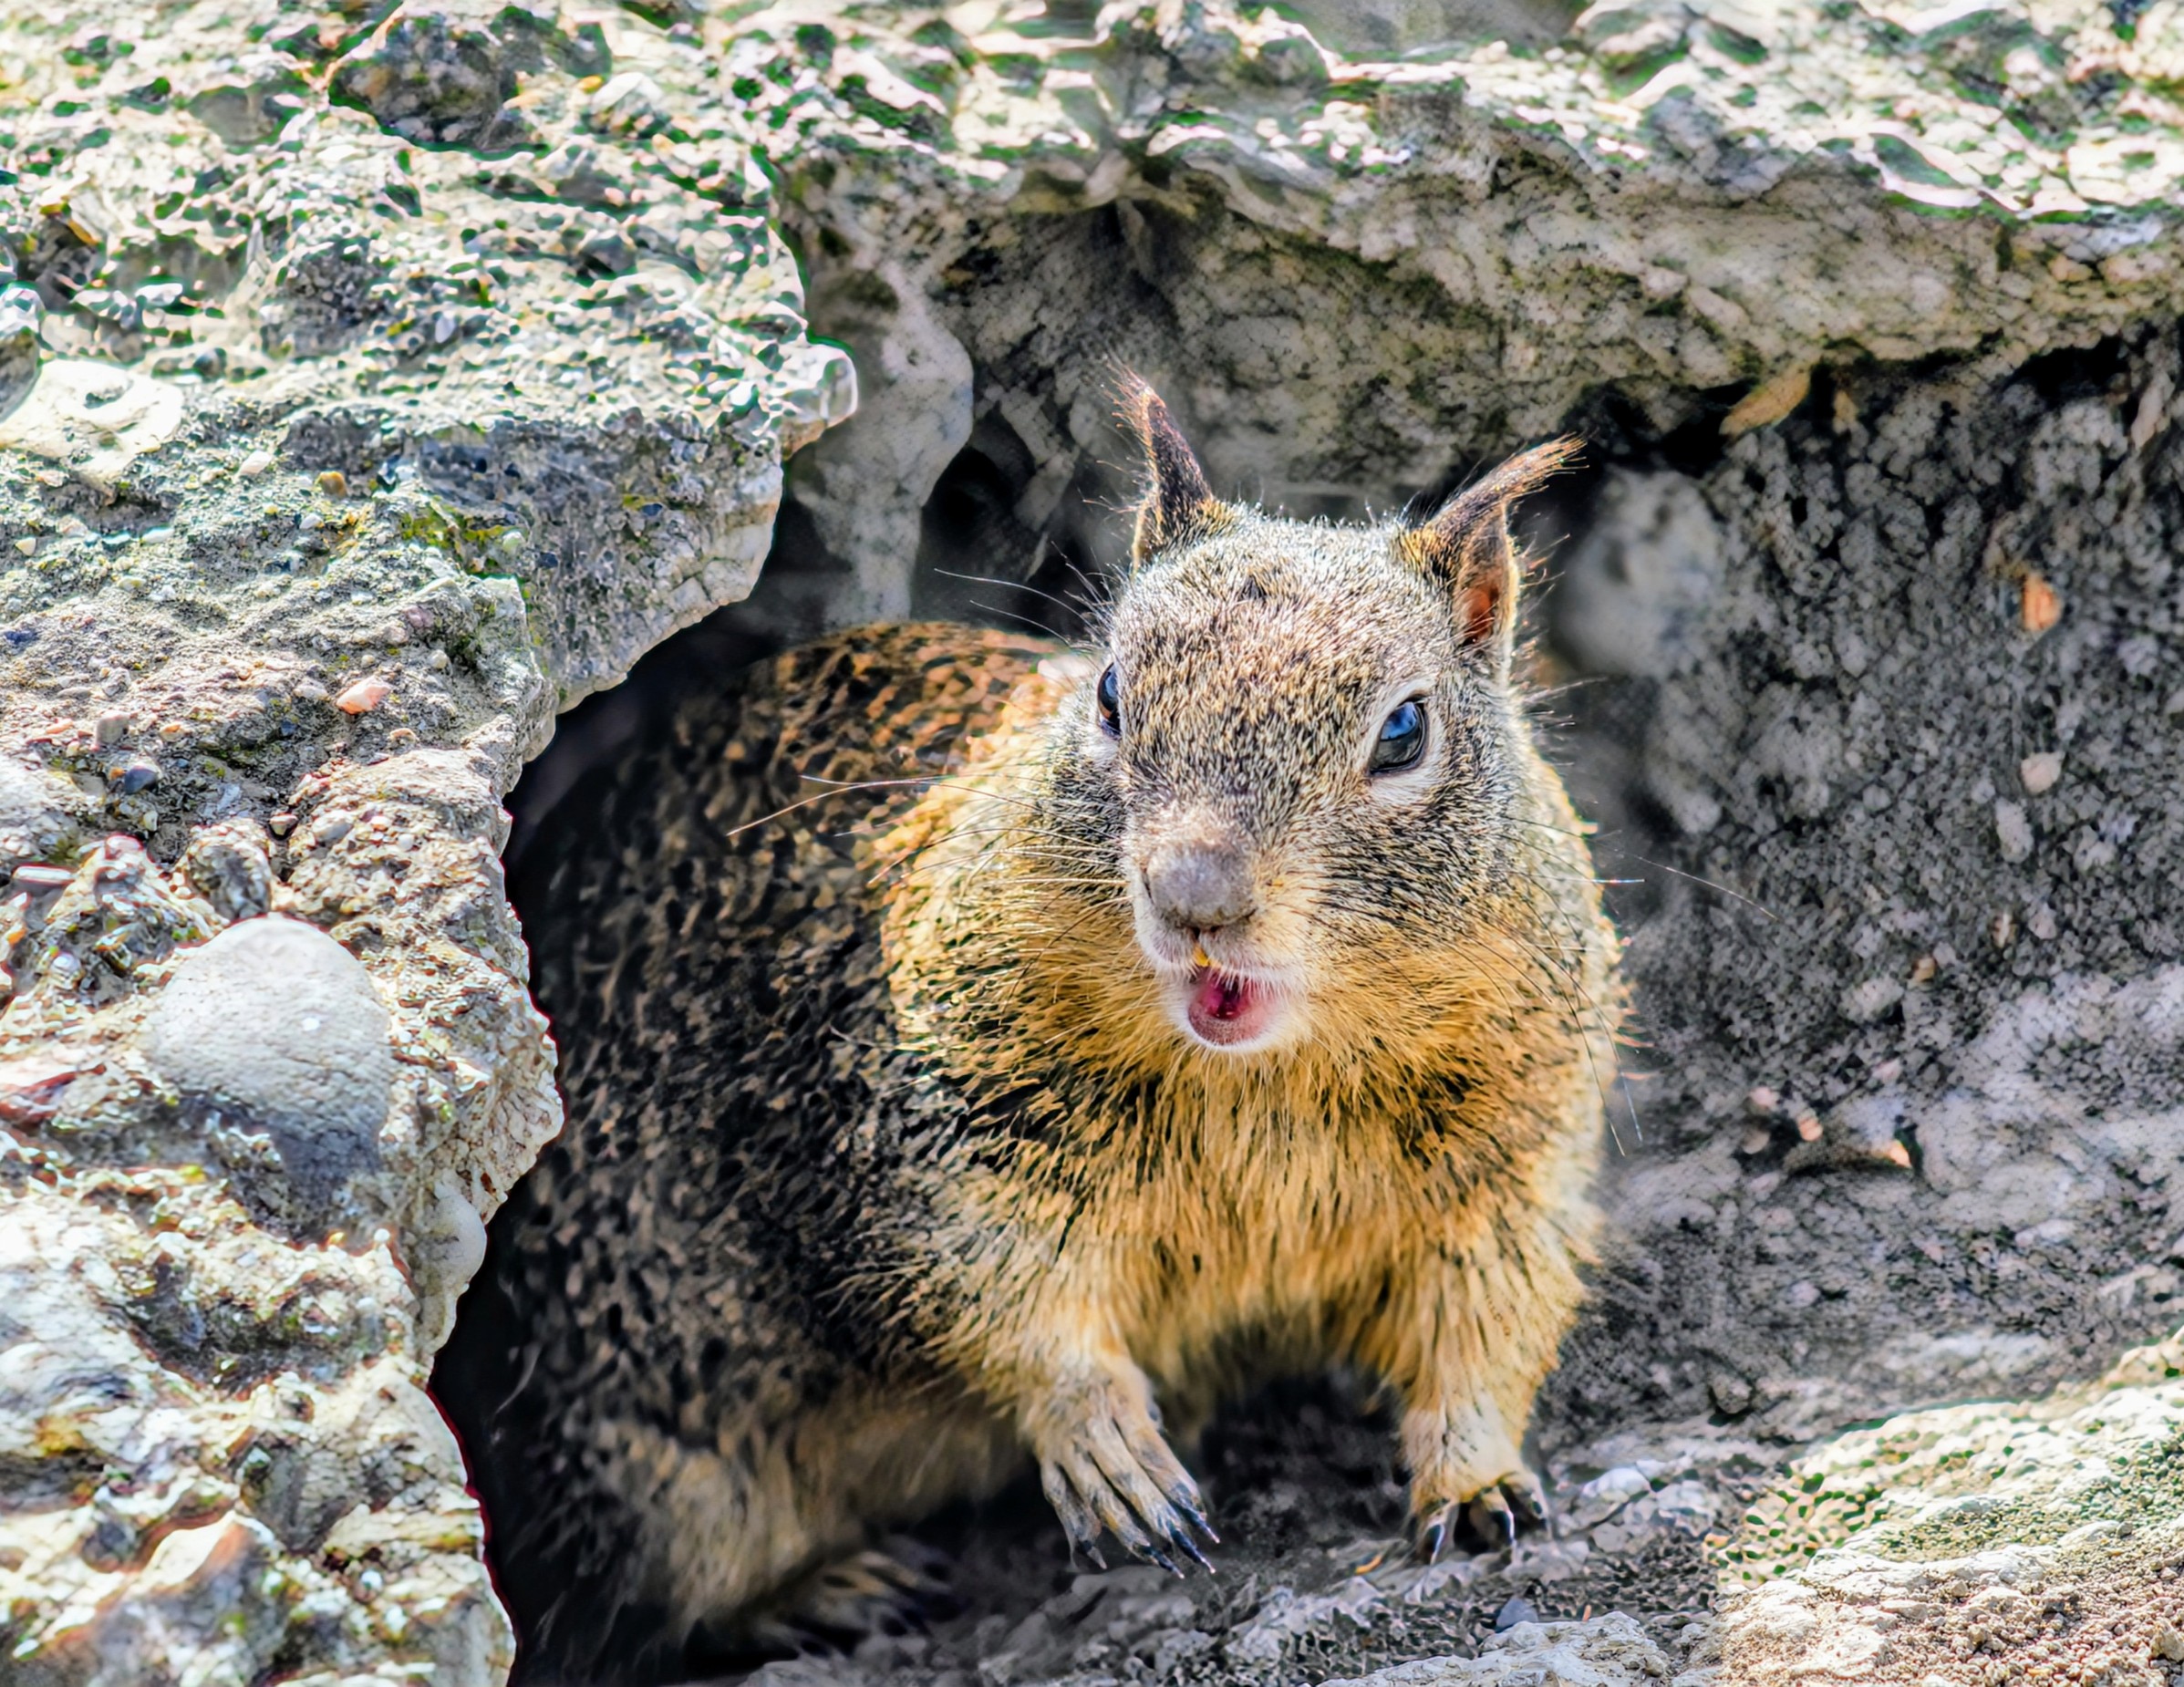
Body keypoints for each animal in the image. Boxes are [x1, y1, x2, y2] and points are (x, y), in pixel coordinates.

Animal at [444, 383, 1623, 1684]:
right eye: (1107, 693)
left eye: (1404, 731)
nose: (1193, 893)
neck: (1260, 1078)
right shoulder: (925, 1133)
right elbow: (1003, 1301)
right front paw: (1111, 1450)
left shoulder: (1515, 1158)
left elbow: (1487, 1321)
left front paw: (1477, 1479)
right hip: (656, 1474)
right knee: (667, 1603)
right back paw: (832, 1588)